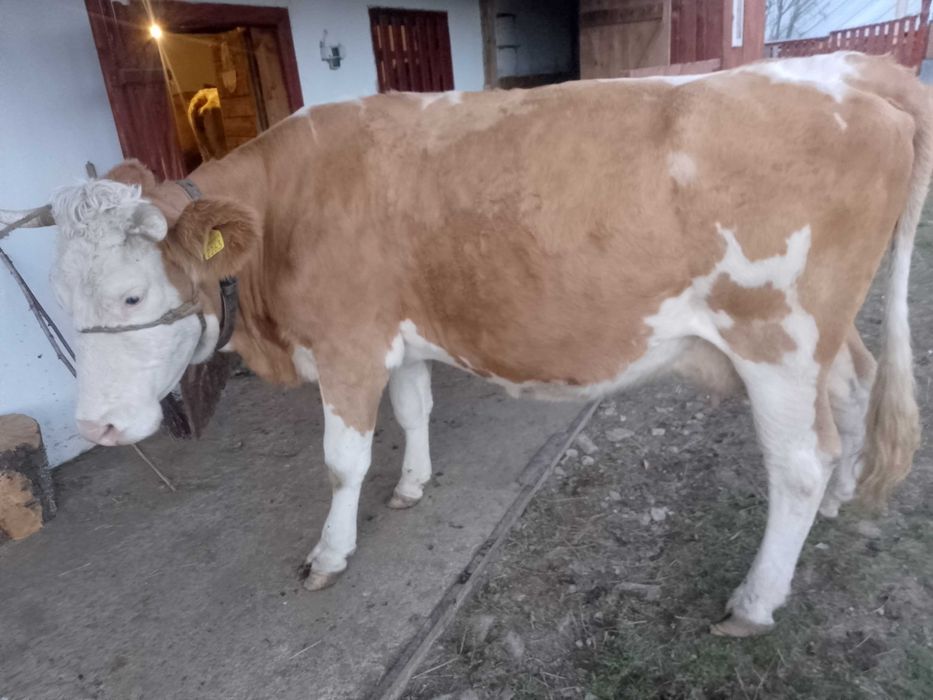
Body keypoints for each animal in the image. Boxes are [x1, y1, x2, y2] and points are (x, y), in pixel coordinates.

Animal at [2, 52, 929, 637]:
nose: (95, 428)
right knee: (853, 395)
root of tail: (868, 88)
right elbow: (414, 411)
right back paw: (840, 503)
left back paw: (754, 600)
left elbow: (342, 462)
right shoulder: (400, 338)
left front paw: (329, 554)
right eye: (61, 299)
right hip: (823, 340)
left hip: (779, 339)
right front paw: (413, 485)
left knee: (798, 463)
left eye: (132, 294)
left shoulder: (346, 346)